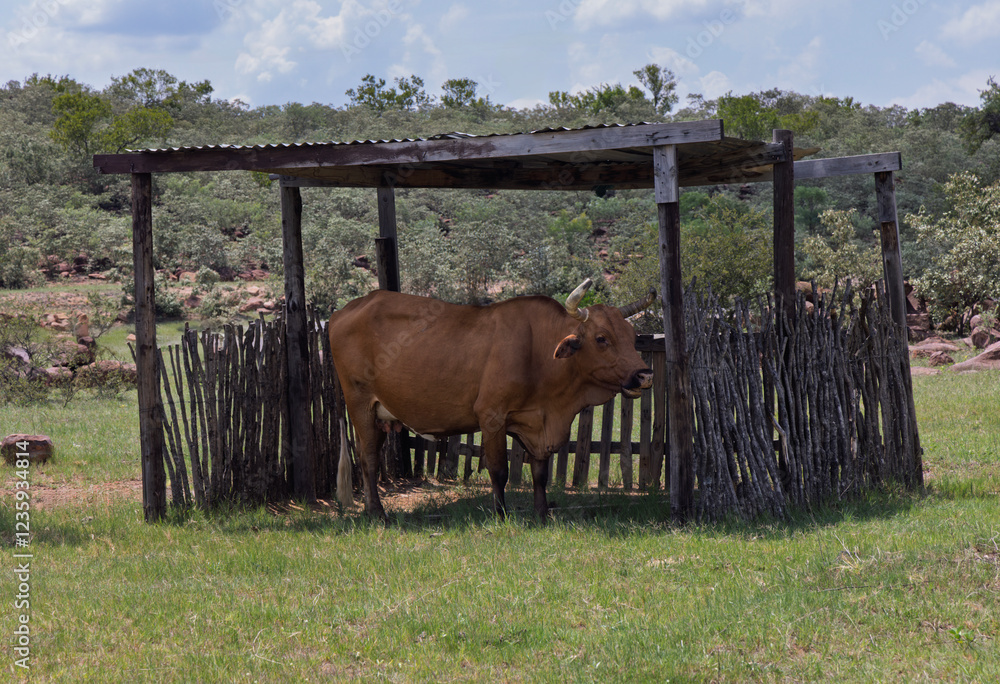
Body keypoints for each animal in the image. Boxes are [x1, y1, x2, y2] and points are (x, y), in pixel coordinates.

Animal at [328, 278, 656, 522]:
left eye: (631, 335)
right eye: (602, 338)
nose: (644, 375)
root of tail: (345, 310)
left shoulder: (537, 423)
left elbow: (540, 473)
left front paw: (541, 513)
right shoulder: (492, 417)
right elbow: (500, 470)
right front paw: (501, 514)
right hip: (359, 404)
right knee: (368, 458)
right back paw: (377, 513)